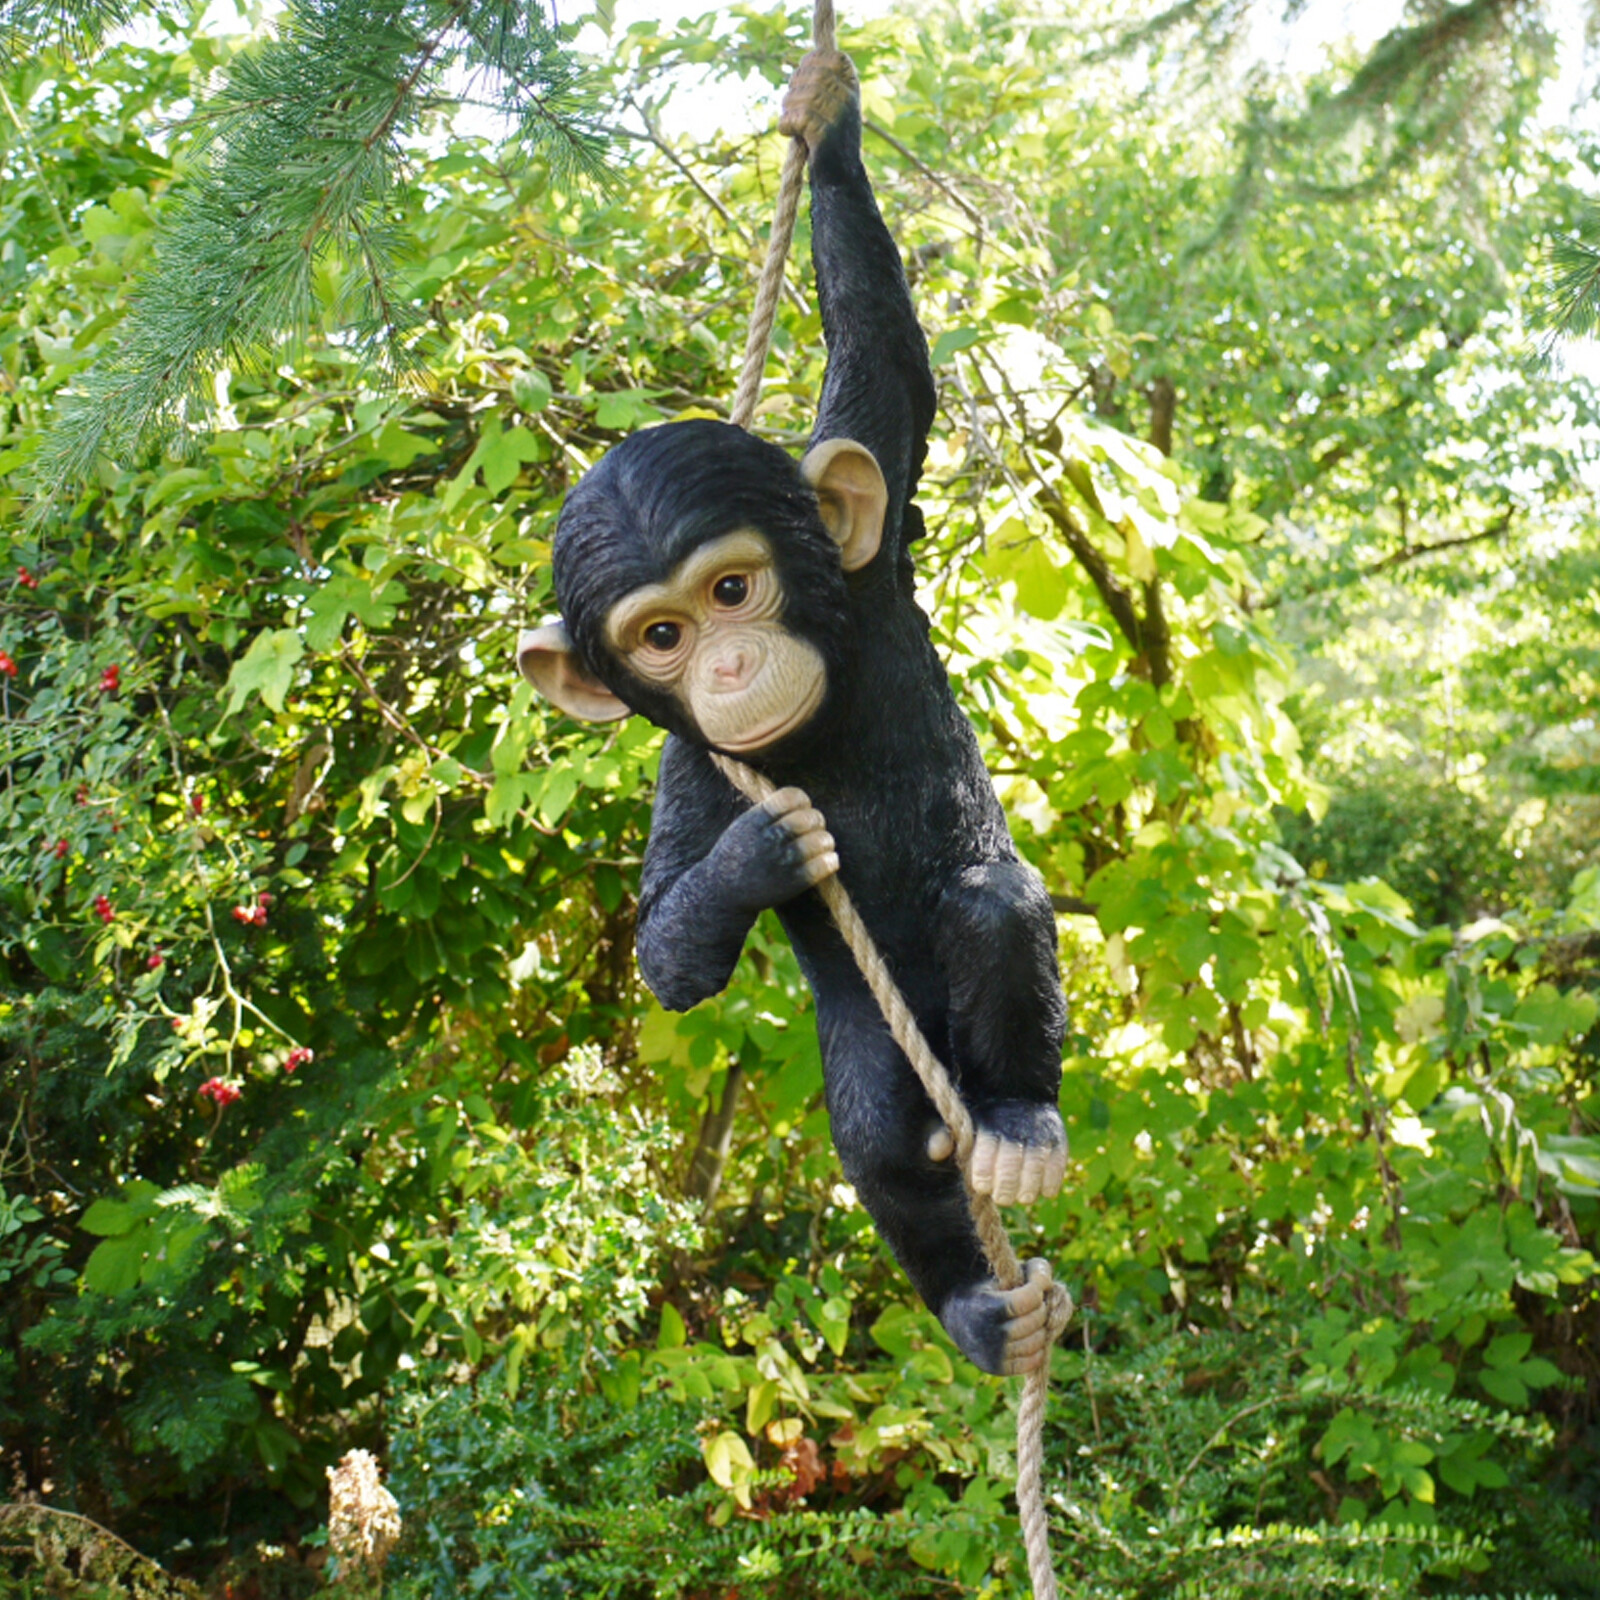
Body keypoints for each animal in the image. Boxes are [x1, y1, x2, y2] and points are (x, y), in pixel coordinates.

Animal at [518, 49, 1065, 1376]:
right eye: (659, 638)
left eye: (731, 590)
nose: (724, 666)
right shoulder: (690, 769)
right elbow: (665, 947)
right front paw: (760, 855)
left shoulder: (872, 551)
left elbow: (887, 369)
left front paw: (827, 123)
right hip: (874, 1042)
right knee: (873, 1135)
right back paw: (973, 1305)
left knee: (991, 901)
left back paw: (1020, 1124)